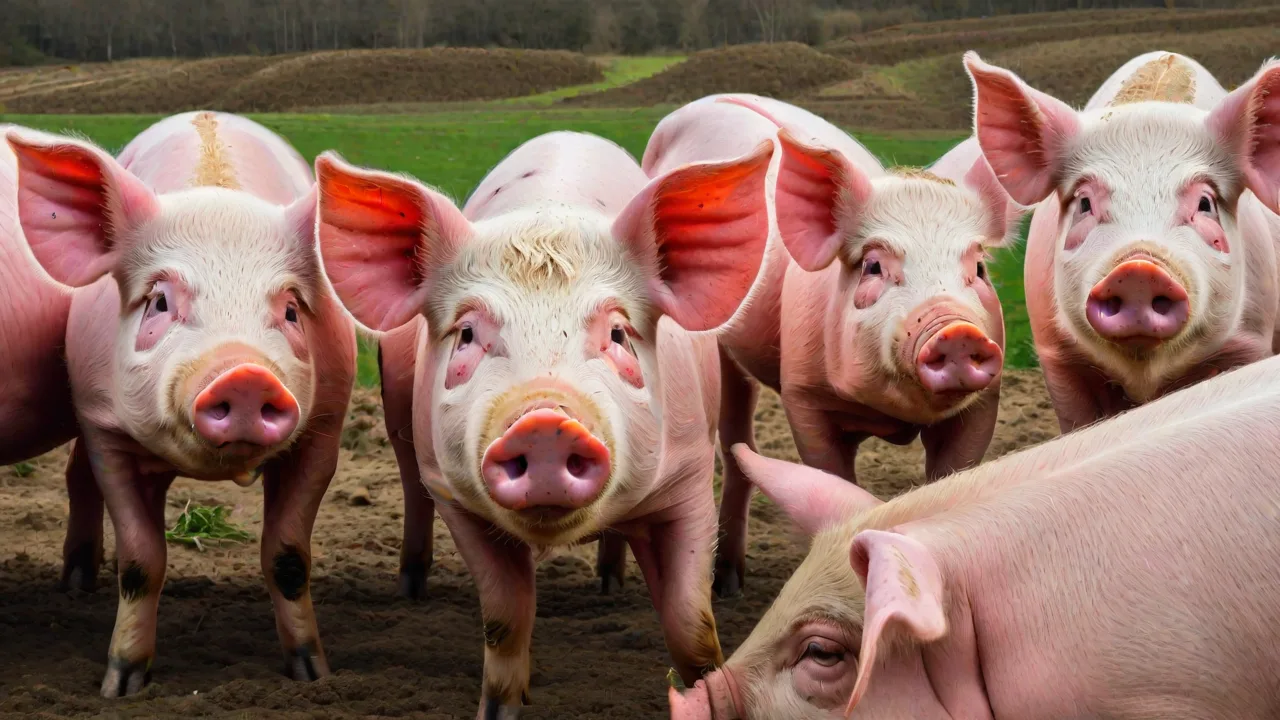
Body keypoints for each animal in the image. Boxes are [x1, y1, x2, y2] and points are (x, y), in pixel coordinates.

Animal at [6, 111, 357, 697]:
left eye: (290, 309)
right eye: (159, 302)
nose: (244, 373)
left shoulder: (324, 430)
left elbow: (288, 558)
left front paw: (313, 675)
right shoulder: (106, 430)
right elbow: (139, 561)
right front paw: (120, 686)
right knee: (79, 475)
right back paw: (76, 583)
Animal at [315, 130, 775, 717]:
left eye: (618, 333)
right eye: (467, 334)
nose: (545, 423)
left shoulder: (690, 476)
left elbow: (691, 625)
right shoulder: (455, 498)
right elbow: (505, 619)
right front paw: (501, 709)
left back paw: (610, 584)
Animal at [643, 94, 1023, 597]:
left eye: (978, 268)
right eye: (874, 266)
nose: (956, 330)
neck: (892, 416)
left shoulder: (982, 404)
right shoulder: (804, 396)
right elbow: (828, 477)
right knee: (735, 443)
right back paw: (725, 585)